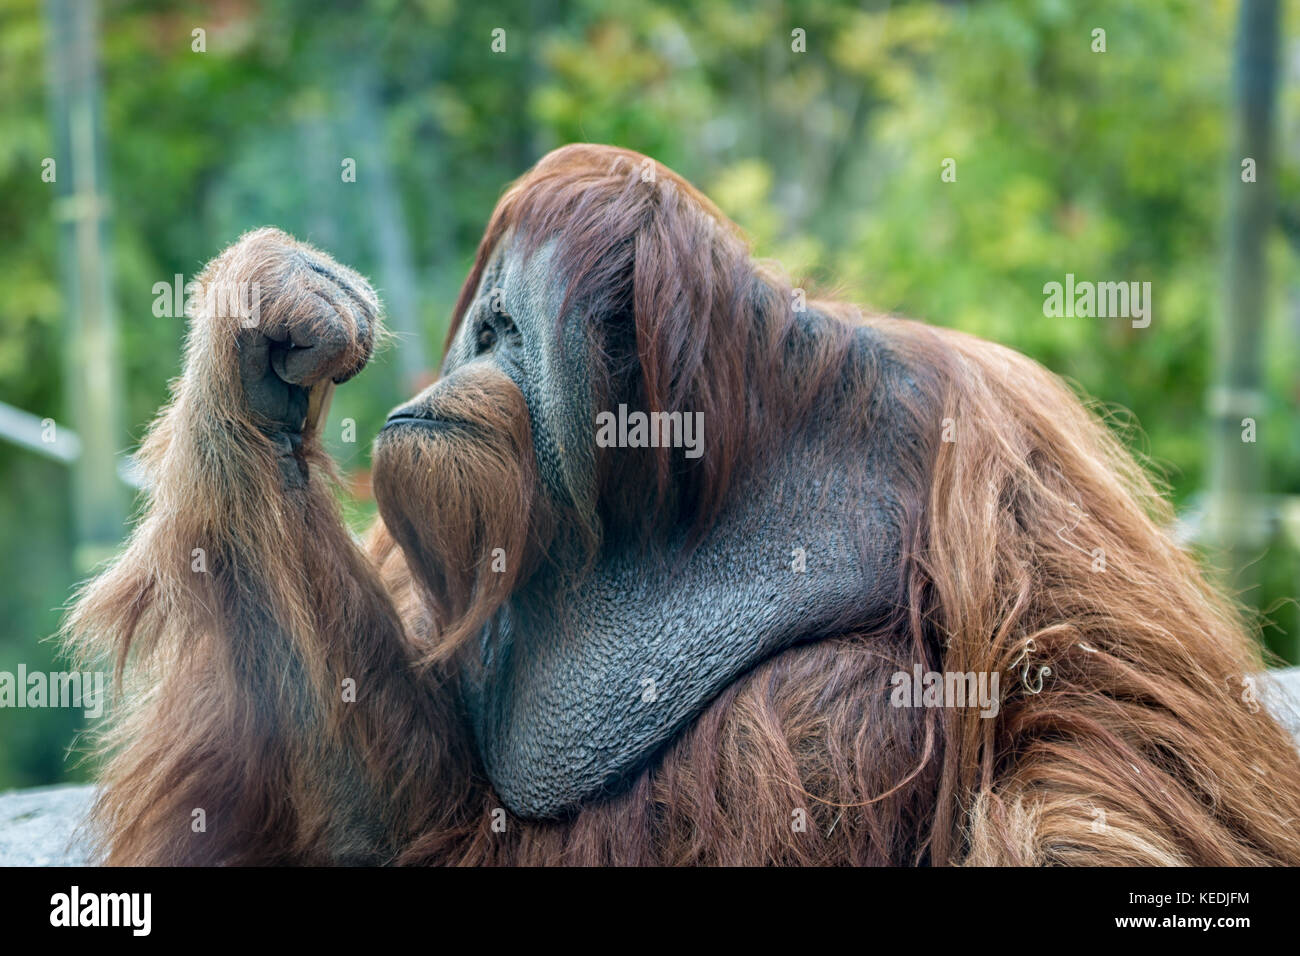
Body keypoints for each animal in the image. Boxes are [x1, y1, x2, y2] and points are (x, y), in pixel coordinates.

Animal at [67, 144, 1300, 865]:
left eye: (504, 335)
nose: (446, 379)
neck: (666, 492)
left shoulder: (990, 432)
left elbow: (1102, 735)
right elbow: (389, 819)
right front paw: (262, 346)